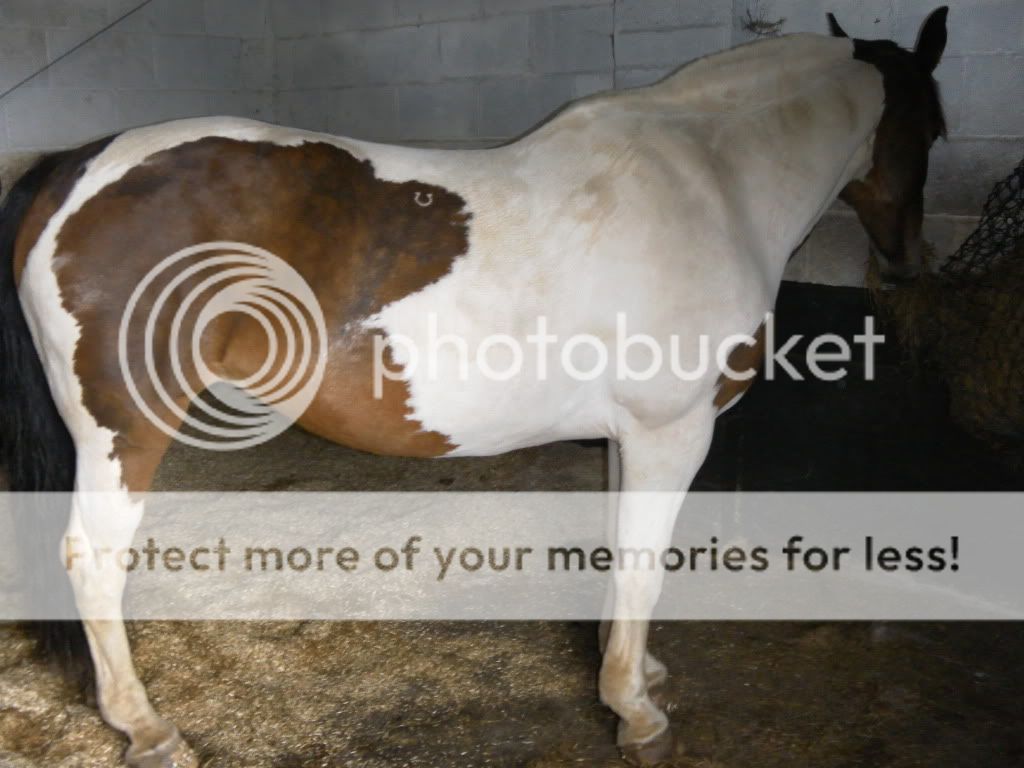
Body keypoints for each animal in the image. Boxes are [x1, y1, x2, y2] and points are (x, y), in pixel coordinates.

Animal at [0, 8, 948, 766]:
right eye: (934, 127)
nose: (907, 264)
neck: (714, 184)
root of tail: (74, 167)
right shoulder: (672, 431)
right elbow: (644, 564)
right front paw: (636, 713)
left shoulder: (626, 438)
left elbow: (618, 551)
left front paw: (633, 670)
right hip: (124, 431)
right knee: (93, 561)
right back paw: (148, 730)